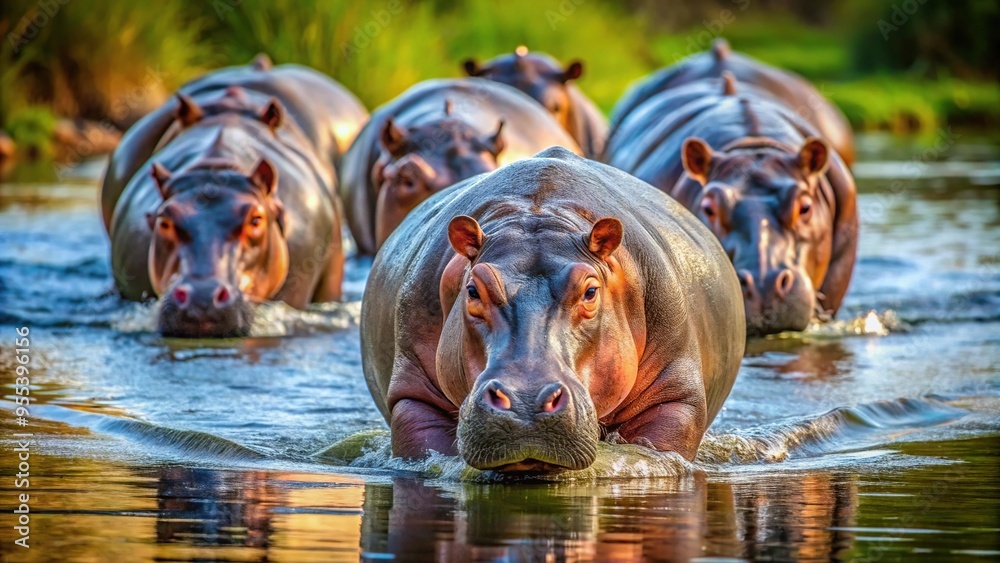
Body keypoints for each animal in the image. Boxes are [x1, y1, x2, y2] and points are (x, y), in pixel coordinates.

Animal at [361, 147, 745, 472]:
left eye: (590, 291)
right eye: (472, 290)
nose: (525, 401)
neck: (540, 212)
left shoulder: (674, 399)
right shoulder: (414, 397)